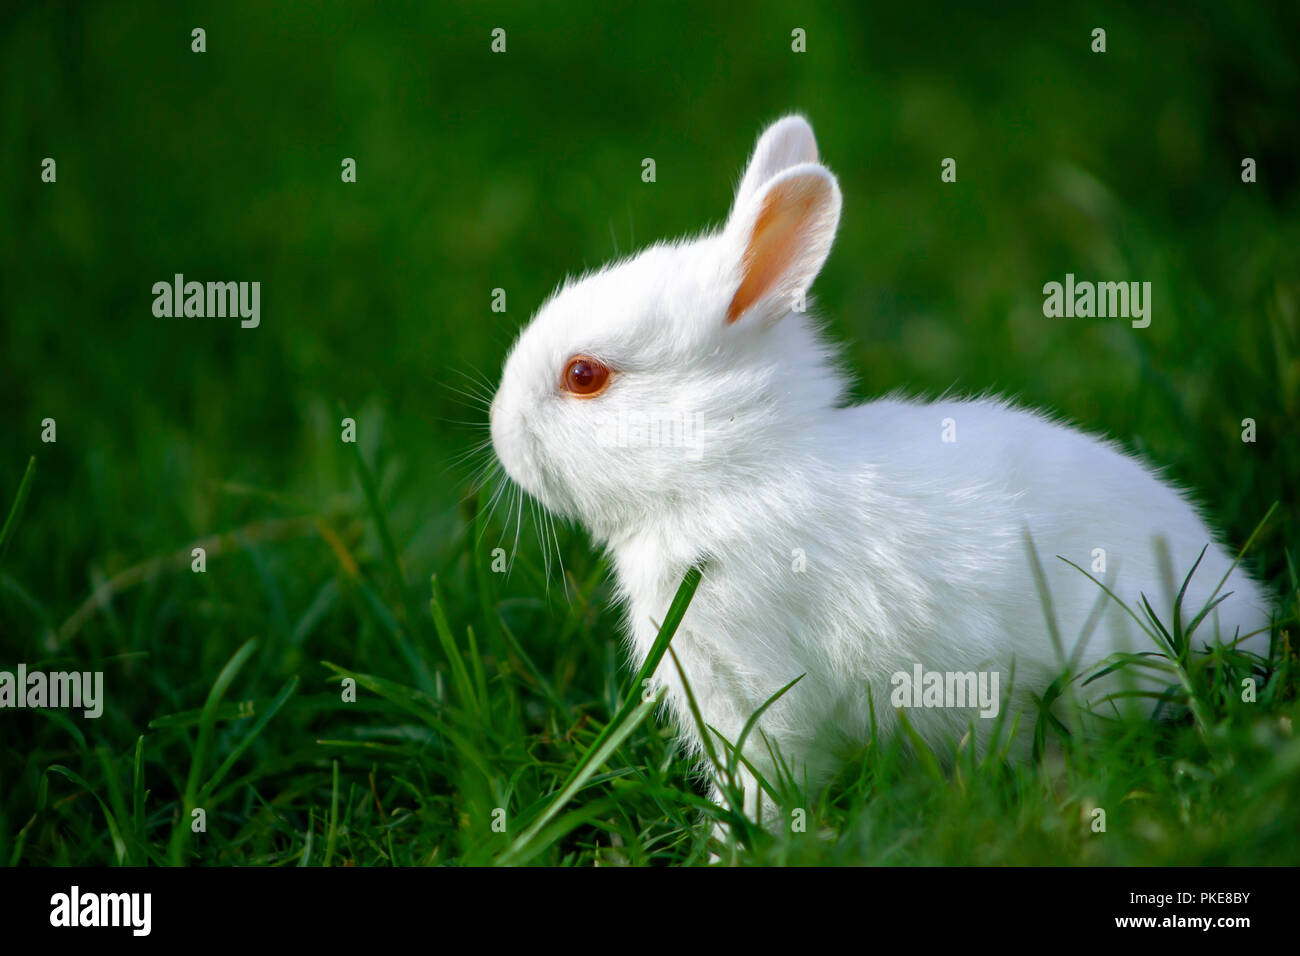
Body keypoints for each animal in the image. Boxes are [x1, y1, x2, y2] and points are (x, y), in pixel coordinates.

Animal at [489, 115, 1273, 828]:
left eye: (584, 376)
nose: (499, 431)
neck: (731, 467)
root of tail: (1248, 610)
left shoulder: (754, 681)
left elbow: (763, 776)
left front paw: (729, 840)